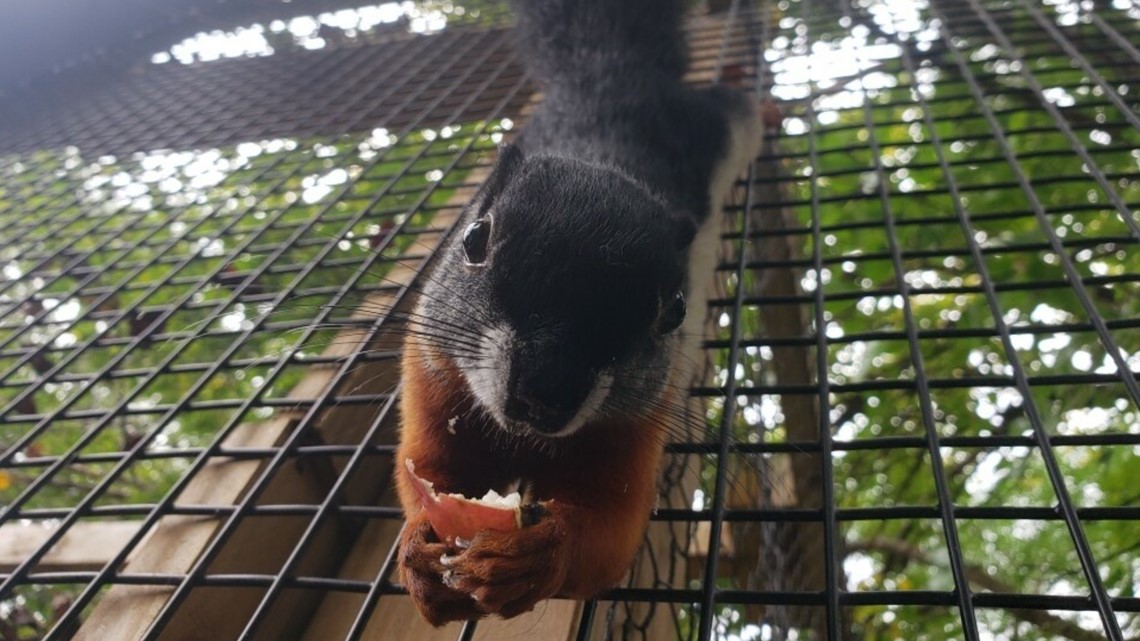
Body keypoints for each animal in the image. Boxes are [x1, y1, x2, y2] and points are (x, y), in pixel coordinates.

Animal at [394, 0, 765, 626]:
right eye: (473, 239)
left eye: (675, 309)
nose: (546, 393)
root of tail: (612, 75)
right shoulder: (431, 375)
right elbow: (424, 468)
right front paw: (416, 549)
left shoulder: (636, 426)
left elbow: (607, 536)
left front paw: (538, 554)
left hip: (720, 127)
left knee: (736, 107)